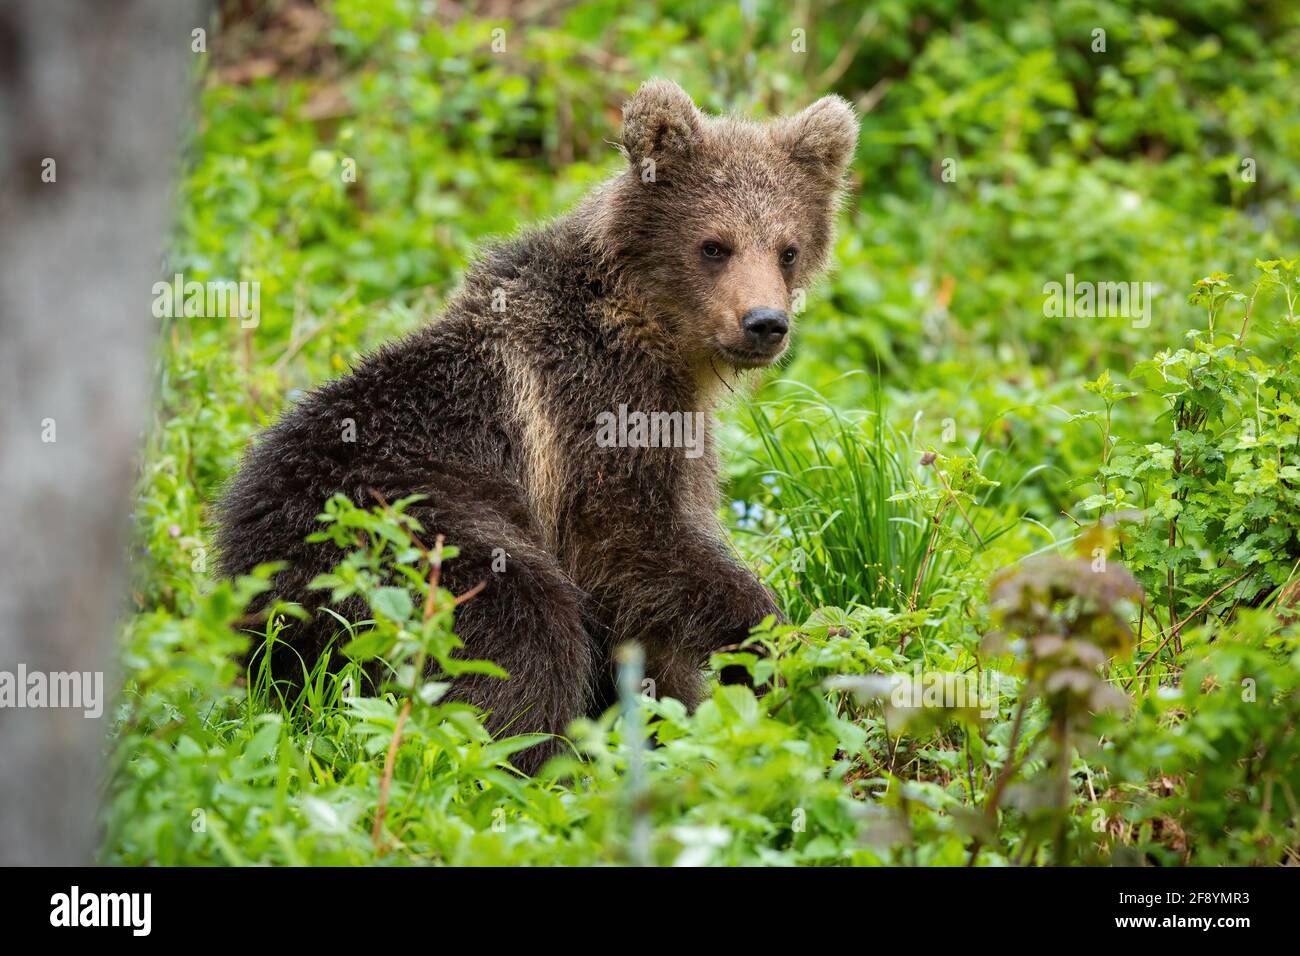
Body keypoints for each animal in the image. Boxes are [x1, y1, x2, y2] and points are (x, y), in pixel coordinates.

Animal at [216, 79, 859, 773]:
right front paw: (782, 642)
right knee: (522, 629)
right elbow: (631, 545)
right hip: (396, 531)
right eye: (715, 245)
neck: (653, 333)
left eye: (788, 249)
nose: (765, 322)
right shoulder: (591, 411)